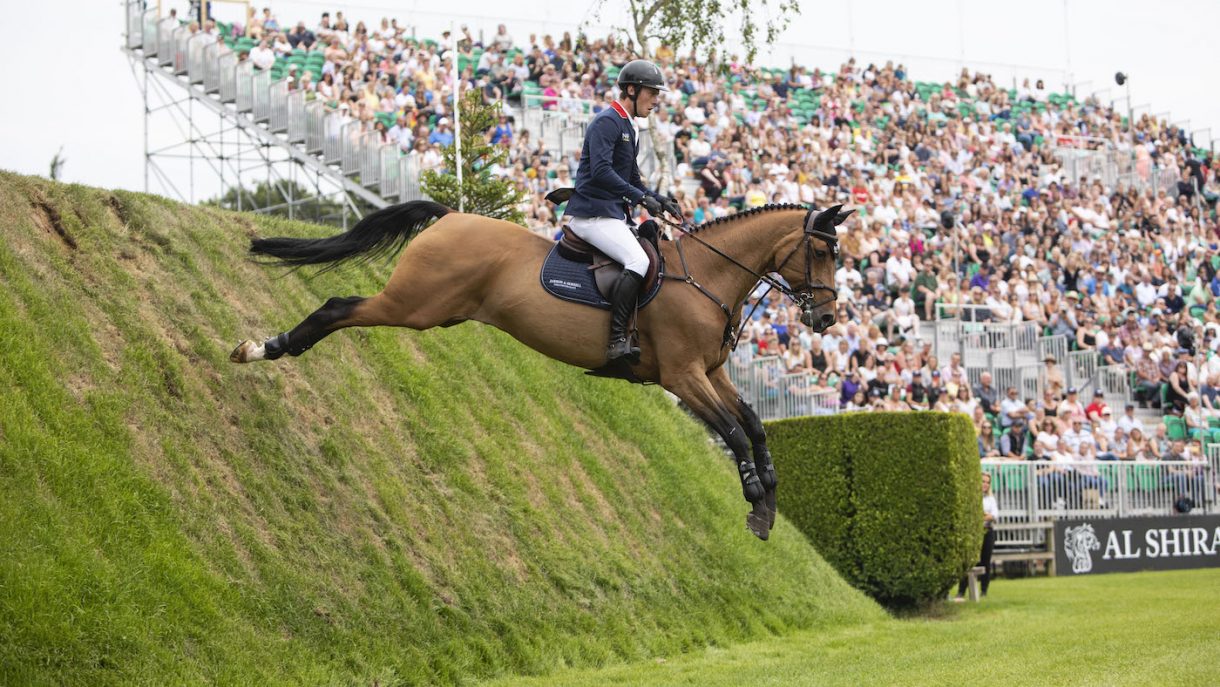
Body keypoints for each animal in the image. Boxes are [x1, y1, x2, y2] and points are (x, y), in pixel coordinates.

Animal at [230, 201, 849, 540]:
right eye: (823, 253)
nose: (825, 318)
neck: (704, 277)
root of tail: (450, 216)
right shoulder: (681, 377)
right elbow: (730, 432)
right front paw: (755, 498)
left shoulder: (712, 371)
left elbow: (753, 423)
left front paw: (768, 497)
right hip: (413, 305)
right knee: (340, 307)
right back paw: (265, 348)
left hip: (432, 309)